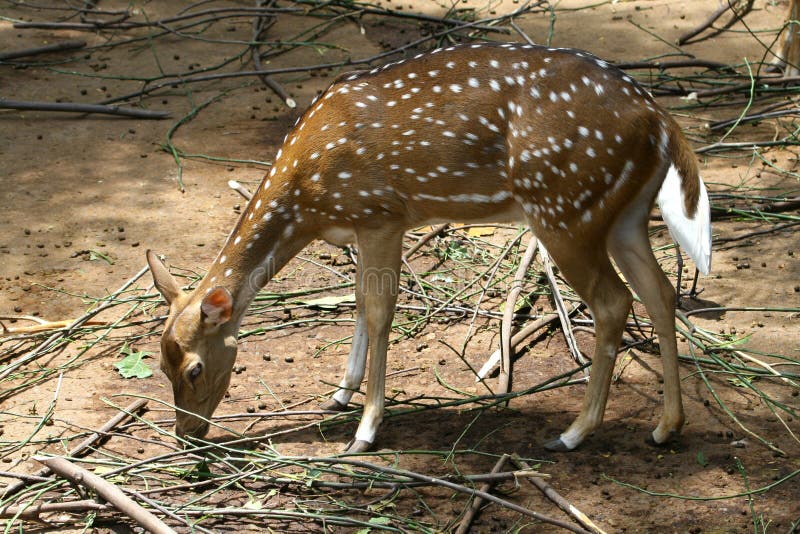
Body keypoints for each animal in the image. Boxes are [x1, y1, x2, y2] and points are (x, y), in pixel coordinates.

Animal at [146, 42, 712, 453]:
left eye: (195, 368)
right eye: (160, 365)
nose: (185, 433)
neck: (310, 201)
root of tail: (660, 120)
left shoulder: (381, 214)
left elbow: (378, 310)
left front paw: (365, 430)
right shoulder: (365, 226)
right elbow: (358, 304)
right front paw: (339, 395)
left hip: (564, 209)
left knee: (614, 301)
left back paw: (573, 433)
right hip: (623, 215)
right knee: (660, 292)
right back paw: (667, 427)